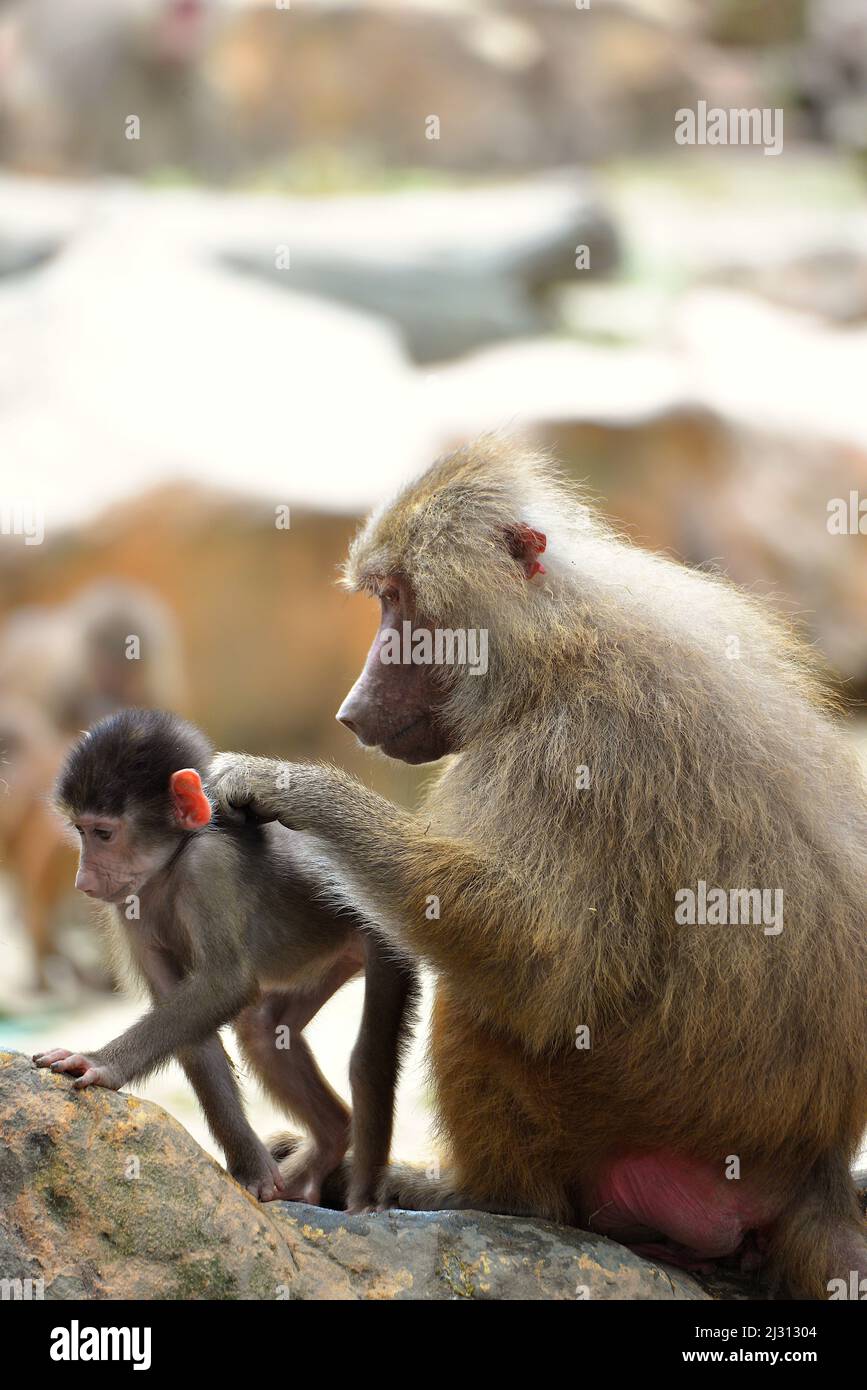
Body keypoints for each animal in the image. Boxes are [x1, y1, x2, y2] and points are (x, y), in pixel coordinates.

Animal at [33, 708, 417, 1211]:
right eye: (79, 830)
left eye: (103, 834)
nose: (83, 880)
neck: (173, 863)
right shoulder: (129, 905)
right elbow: (194, 1032)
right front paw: (252, 1171)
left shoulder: (207, 867)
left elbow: (225, 984)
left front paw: (97, 1061)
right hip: (327, 960)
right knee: (263, 1031)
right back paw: (327, 1146)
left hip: (385, 933)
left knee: (368, 1060)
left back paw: (366, 1202)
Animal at [207, 436, 867, 1298]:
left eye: (397, 599)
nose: (349, 713)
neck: (548, 644)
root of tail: (809, 1165)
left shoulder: (574, 752)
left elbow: (545, 964)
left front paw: (298, 792)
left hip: (641, 1104)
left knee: (483, 1011)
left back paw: (476, 1198)